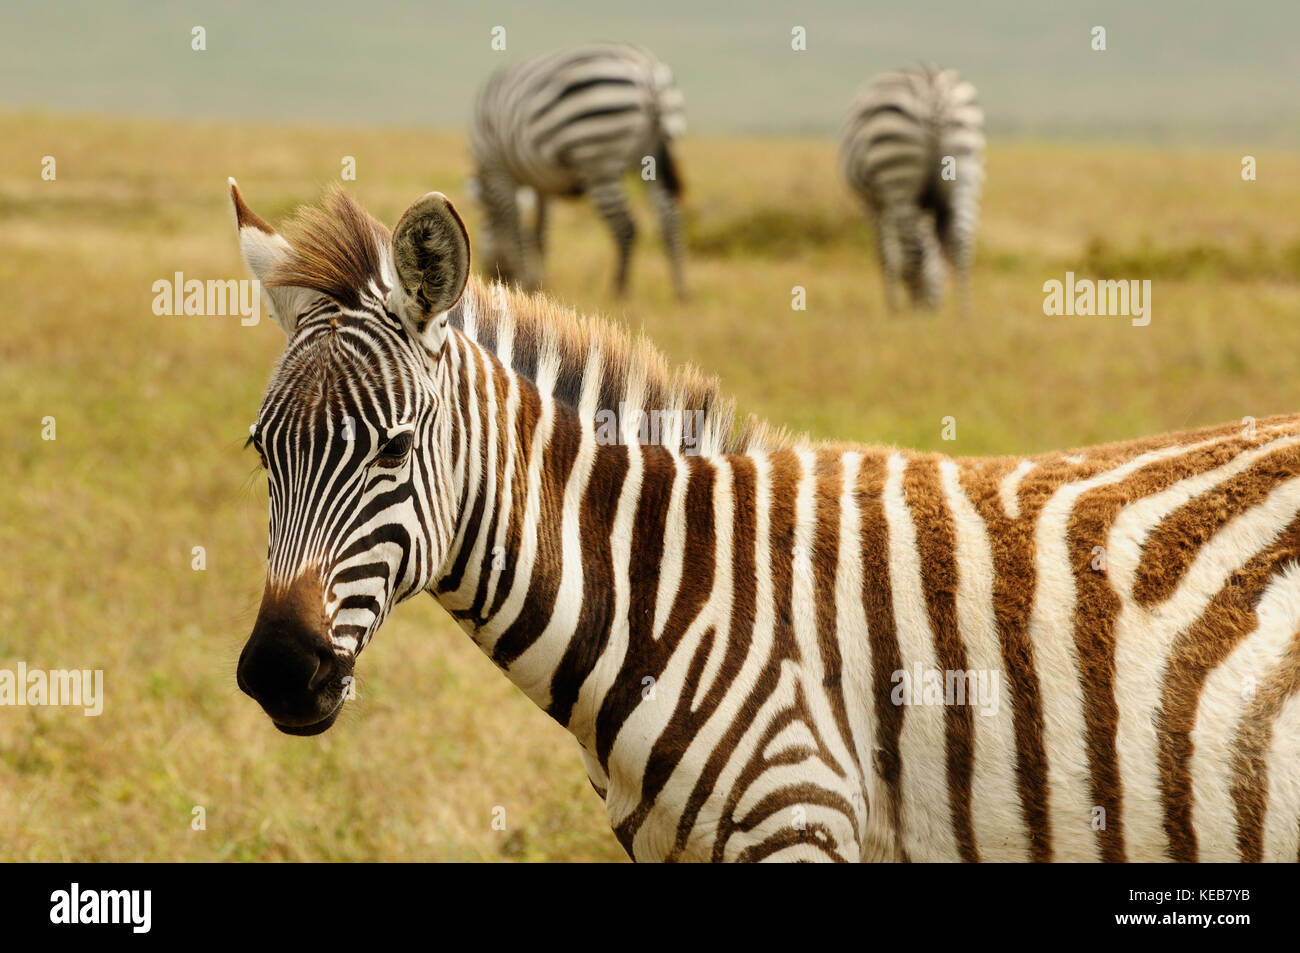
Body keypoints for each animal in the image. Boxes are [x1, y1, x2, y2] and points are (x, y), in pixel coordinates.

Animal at [469, 43, 688, 299]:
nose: (493, 275)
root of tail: (648, 73)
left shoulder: (498, 169)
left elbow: (515, 227)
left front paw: (521, 282)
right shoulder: (541, 183)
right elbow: (539, 234)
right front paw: (537, 283)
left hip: (598, 159)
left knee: (626, 227)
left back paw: (618, 290)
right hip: (653, 156)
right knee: (669, 218)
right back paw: (681, 290)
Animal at [840, 65, 985, 314]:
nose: (932, 305)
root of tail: (933, 89)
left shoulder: (874, 205)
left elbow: (887, 254)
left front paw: (892, 306)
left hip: (897, 174)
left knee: (913, 251)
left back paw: (916, 315)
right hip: (965, 173)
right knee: (962, 246)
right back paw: (965, 314)